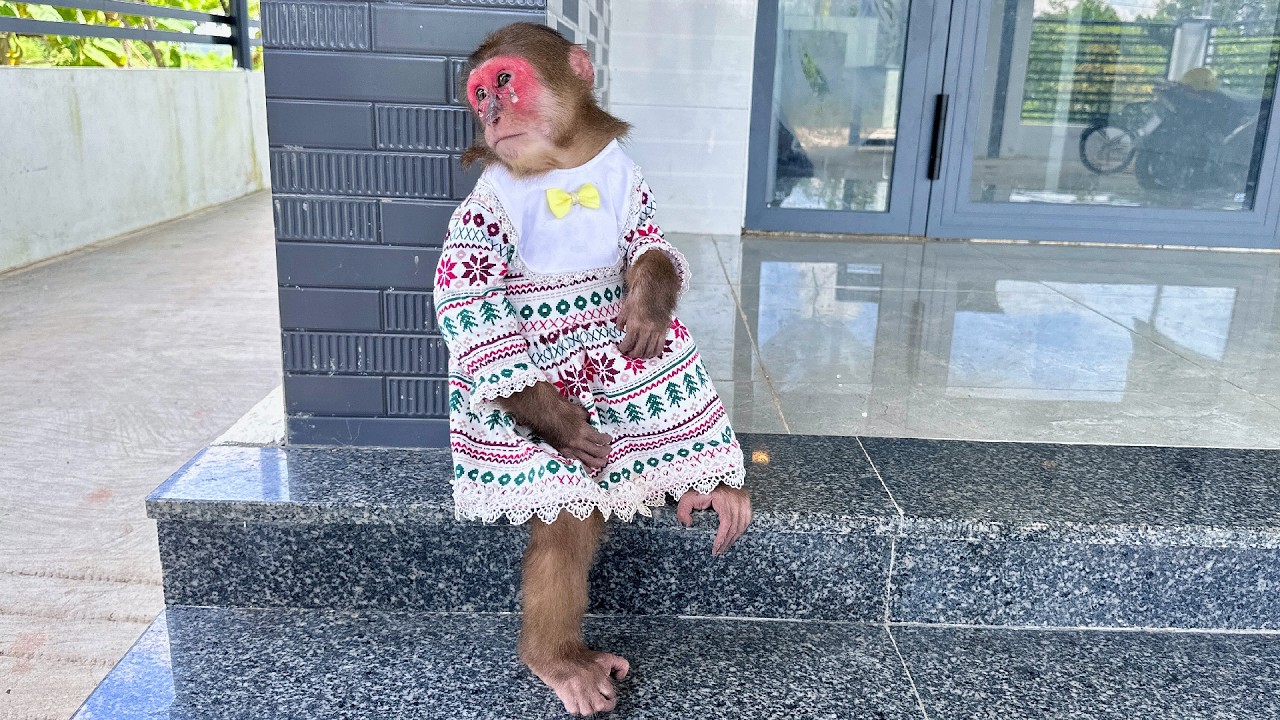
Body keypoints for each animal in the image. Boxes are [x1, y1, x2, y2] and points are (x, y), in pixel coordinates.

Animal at [434, 23, 752, 717]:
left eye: (503, 82)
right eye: (478, 94)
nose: (490, 115)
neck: (560, 169)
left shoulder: (631, 181)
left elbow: (653, 246)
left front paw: (649, 297)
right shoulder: (480, 211)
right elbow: (469, 308)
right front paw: (566, 425)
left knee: (668, 347)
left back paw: (707, 483)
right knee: (567, 517)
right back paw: (558, 661)